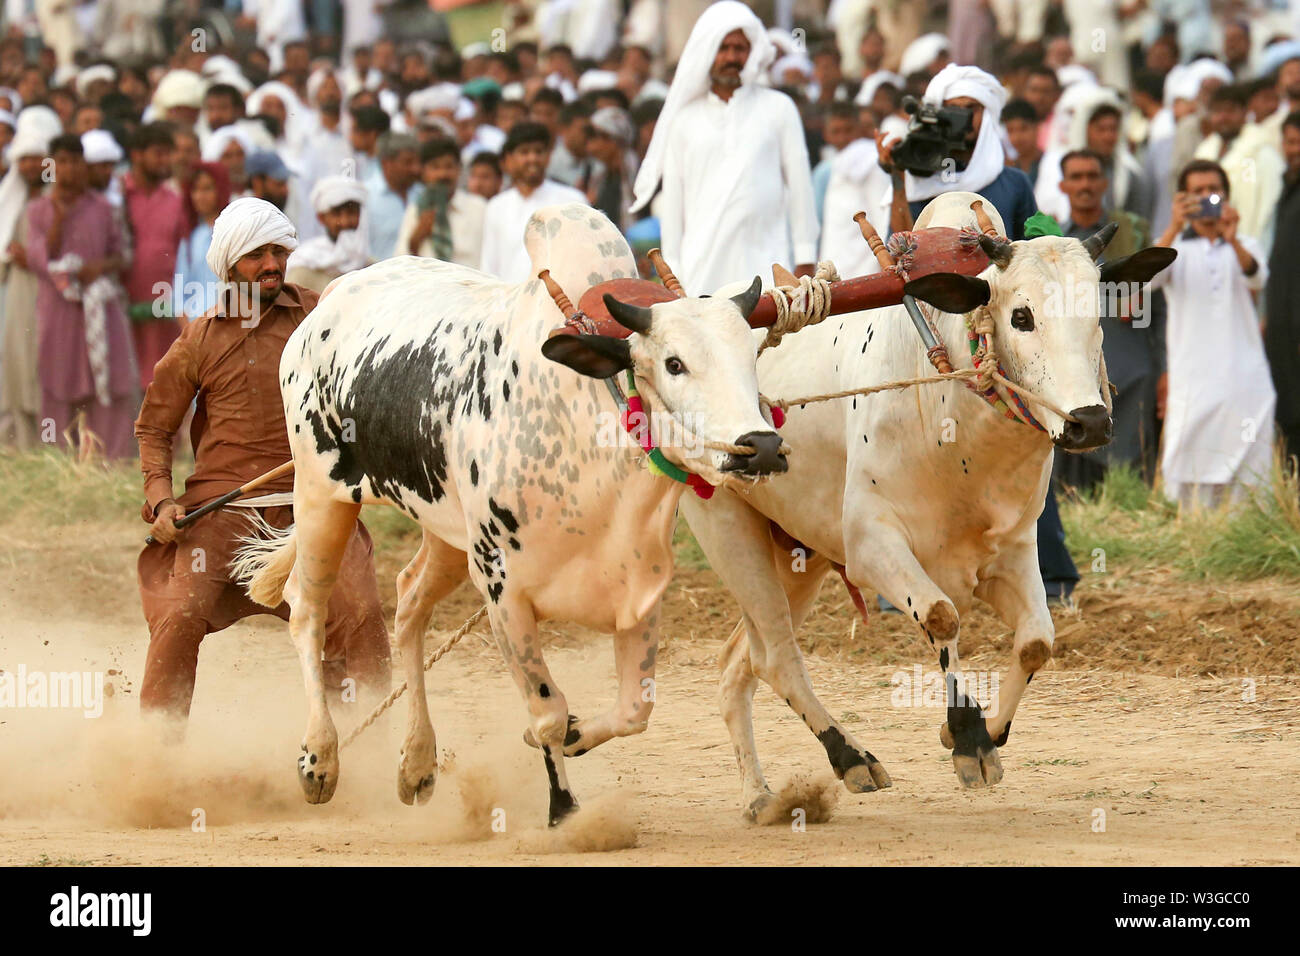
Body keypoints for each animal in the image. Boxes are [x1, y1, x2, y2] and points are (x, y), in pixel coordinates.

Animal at [233, 203, 789, 825]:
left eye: (750, 358)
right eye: (674, 363)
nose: (761, 447)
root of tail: (328, 298)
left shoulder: (639, 588)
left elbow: (632, 711)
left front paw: (575, 737)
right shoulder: (504, 592)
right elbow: (546, 712)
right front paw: (563, 808)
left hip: (444, 534)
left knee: (408, 604)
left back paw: (417, 761)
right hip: (320, 498)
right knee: (306, 611)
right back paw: (319, 759)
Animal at [682, 192, 1176, 820]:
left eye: (1097, 318)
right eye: (1021, 317)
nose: (1088, 422)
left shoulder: (1013, 551)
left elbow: (1037, 642)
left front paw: (990, 731)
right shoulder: (873, 548)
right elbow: (942, 617)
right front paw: (968, 739)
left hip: (798, 555)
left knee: (739, 664)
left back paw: (760, 796)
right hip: (728, 531)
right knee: (776, 658)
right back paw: (850, 760)